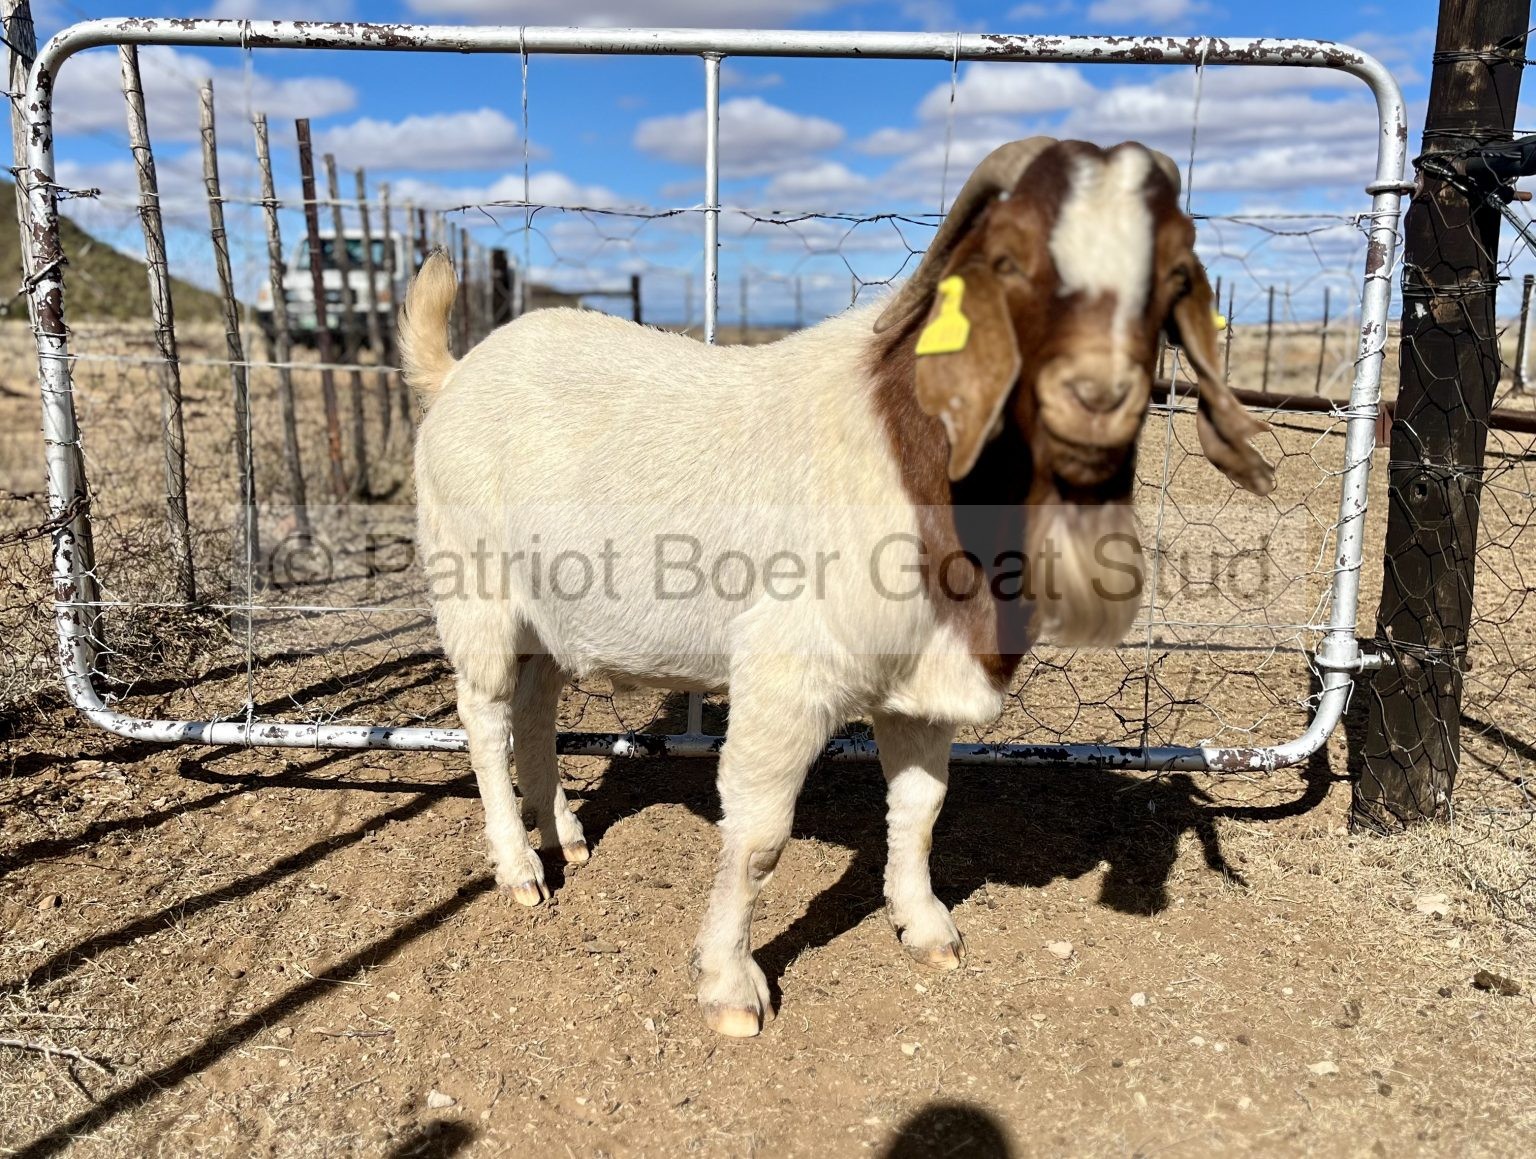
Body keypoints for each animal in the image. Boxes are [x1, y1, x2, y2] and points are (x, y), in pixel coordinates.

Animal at [401, 137, 1275, 1038]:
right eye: (1007, 260)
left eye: (1173, 276)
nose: (1097, 398)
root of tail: (456, 371)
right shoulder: (788, 671)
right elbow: (758, 838)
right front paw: (730, 985)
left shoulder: (923, 682)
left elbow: (922, 808)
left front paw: (923, 926)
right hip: (474, 587)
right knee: (484, 714)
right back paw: (518, 868)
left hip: (547, 612)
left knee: (536, 705)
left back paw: (565, 833)